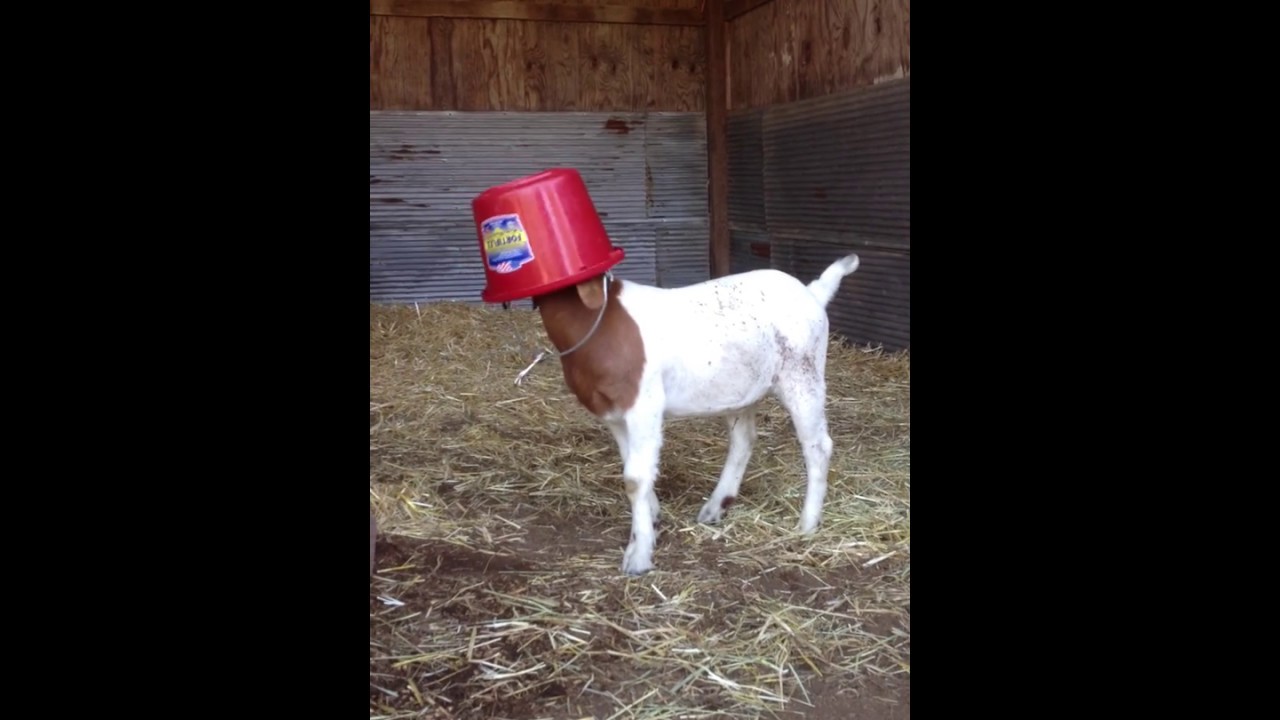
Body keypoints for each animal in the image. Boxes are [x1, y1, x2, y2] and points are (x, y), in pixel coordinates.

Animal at [531, 254, 861, 575]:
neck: (599, 321)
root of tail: (813, 293)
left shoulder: (644, 404)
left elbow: (635, 478)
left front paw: (638, 557)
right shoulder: (614, 415)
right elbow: (633, 467)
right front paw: (651, 519)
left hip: (803, 375)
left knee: (818, 446)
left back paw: (807, 524)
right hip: (741, 388)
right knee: (744, 439)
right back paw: (716, 507)